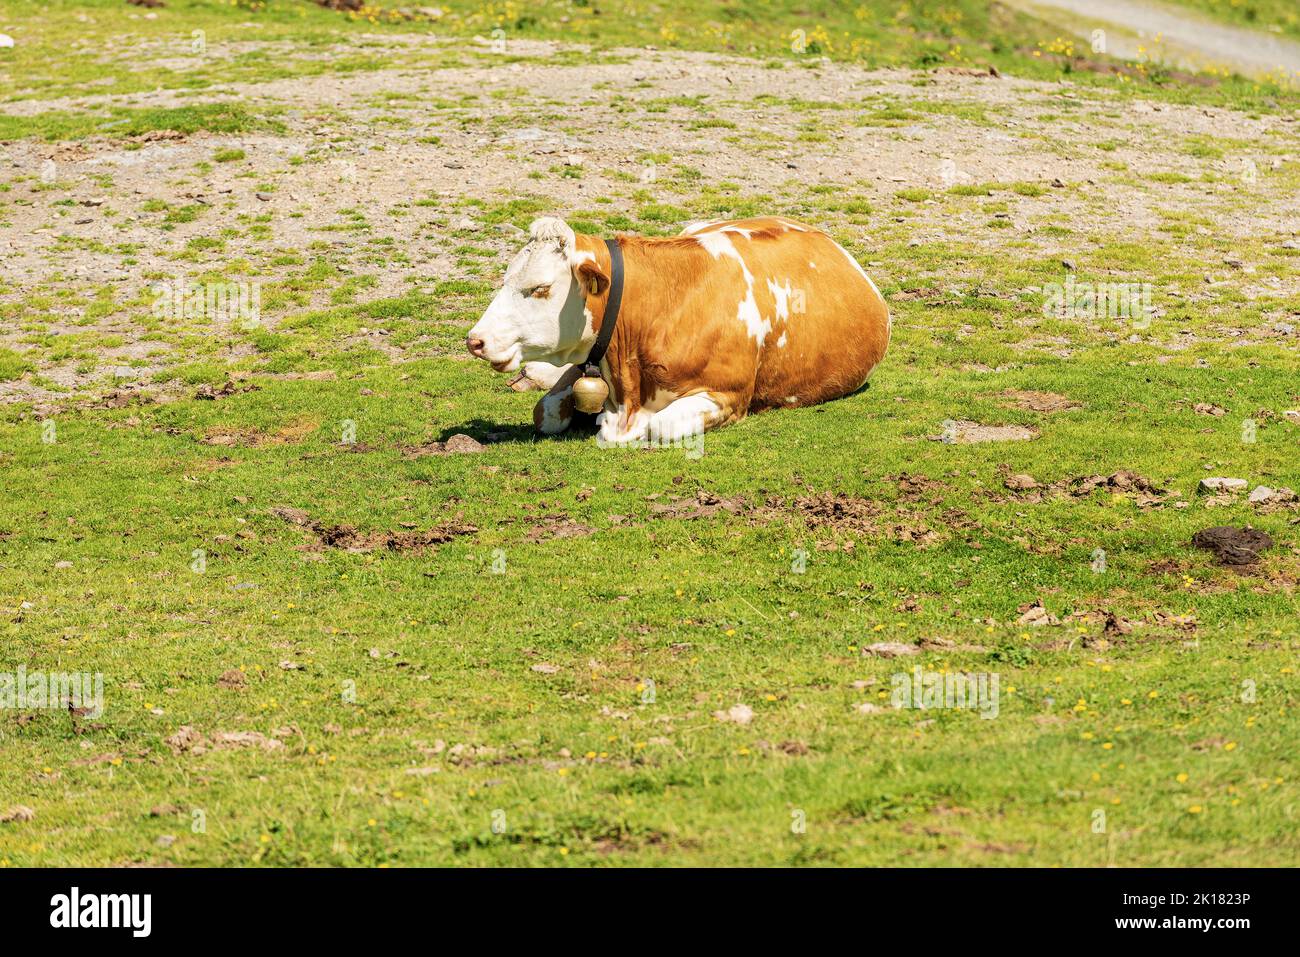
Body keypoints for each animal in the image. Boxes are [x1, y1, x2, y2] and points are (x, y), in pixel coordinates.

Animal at [465, 215, 890, 445]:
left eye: (540, 287)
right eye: (506, 277)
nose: (475, 340)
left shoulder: (729, 395)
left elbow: (660, 425)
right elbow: (547, 412)